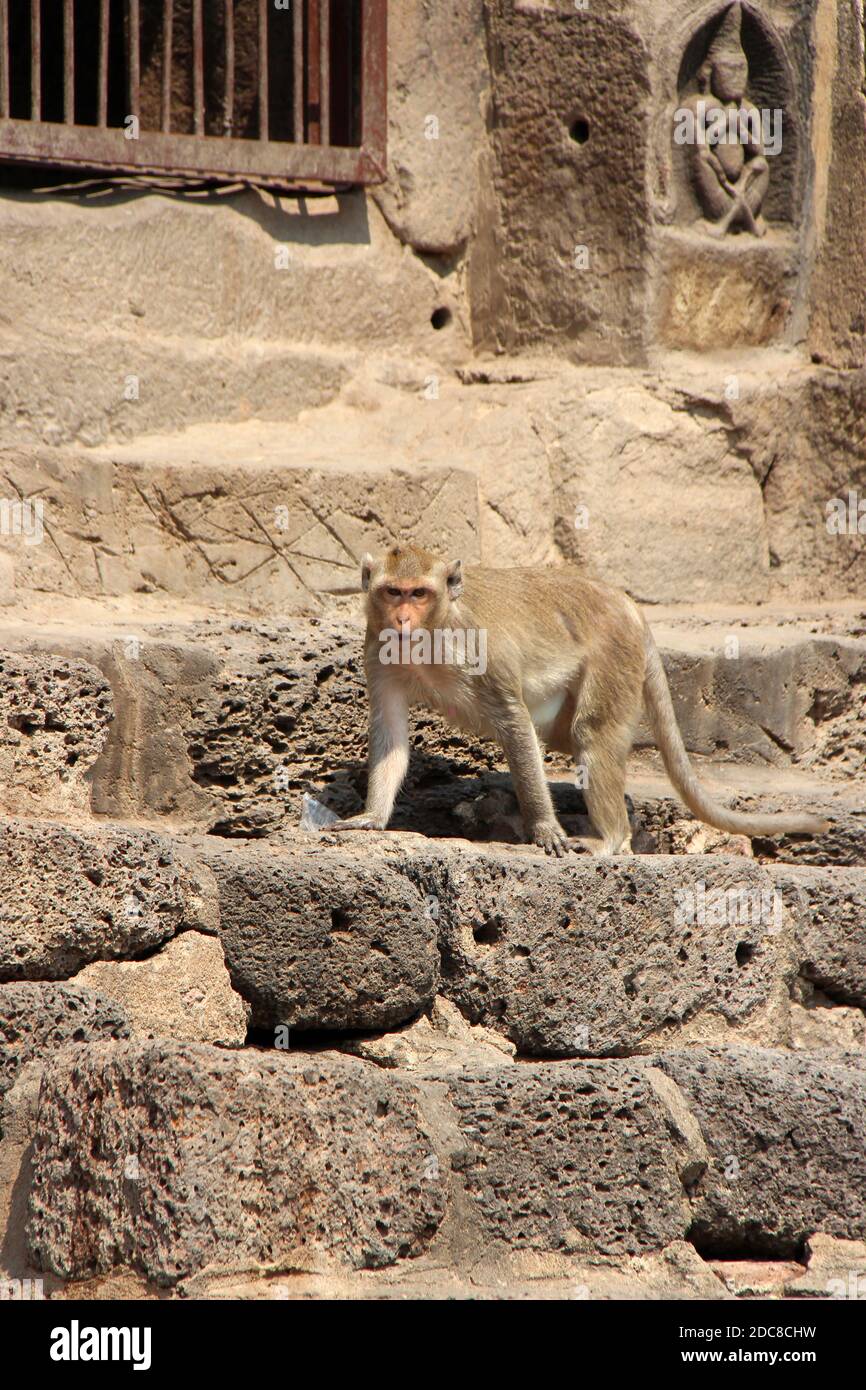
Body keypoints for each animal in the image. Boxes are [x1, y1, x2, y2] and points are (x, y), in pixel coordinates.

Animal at [330, 544, 831, 856]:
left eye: (419, 593)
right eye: (392, 591)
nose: (402, 618)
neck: (431, 633)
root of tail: (626, 603)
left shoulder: (480, 650)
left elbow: (514, 721)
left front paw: (544, 828)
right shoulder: (377, 652)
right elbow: (391, 733)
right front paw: (372, 817)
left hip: (613, 655)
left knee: (591, 734)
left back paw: (613, 837)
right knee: (567, 737)